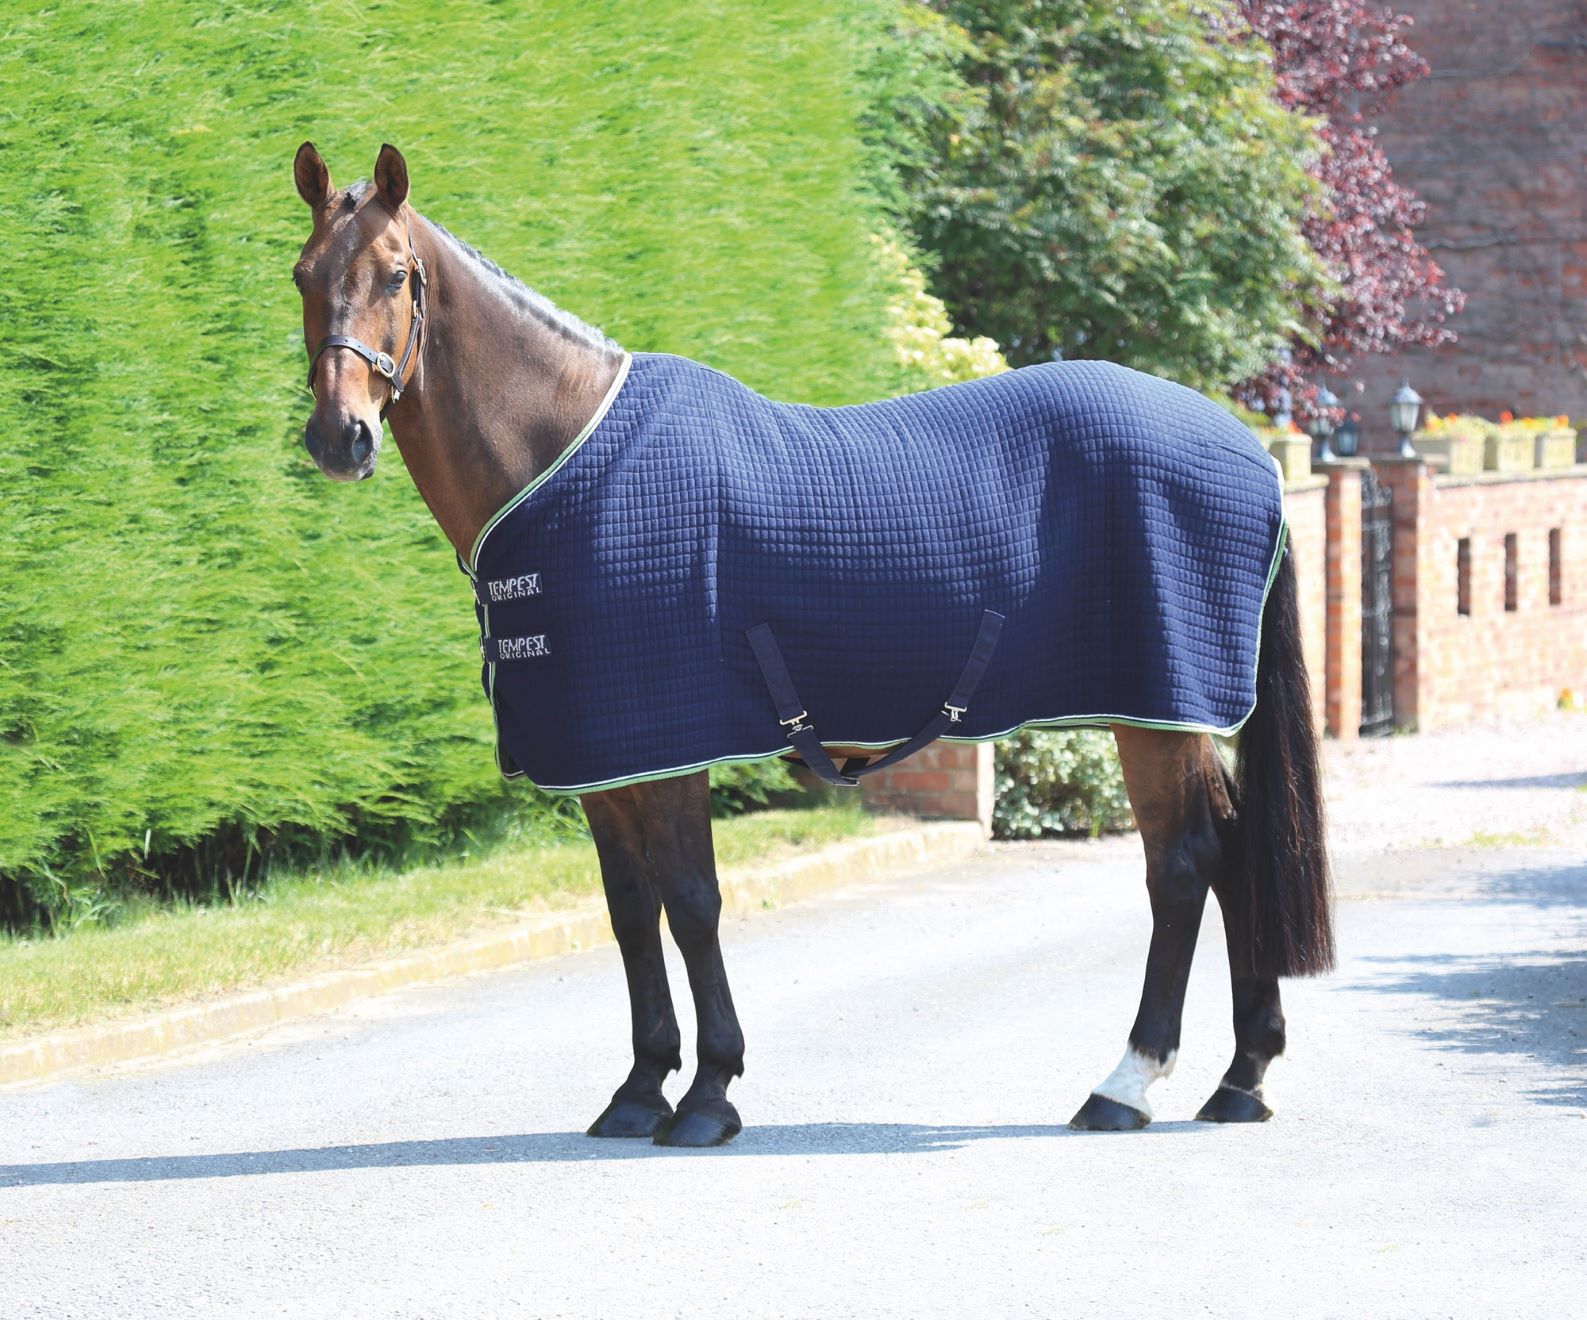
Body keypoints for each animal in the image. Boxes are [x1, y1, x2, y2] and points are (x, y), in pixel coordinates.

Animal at [289, 142, 1333, 1147]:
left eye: (395, 275)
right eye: (303, 274)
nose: (341, 437)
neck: (562, 457)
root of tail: (1247, 450)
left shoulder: (671, 749)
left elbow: (692, 902)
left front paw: (708, 1094)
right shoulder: (606, 761)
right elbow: (630, 912)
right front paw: (638, 1090)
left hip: (1157, 714)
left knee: (1183, 864)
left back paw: (1126, 1085)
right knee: (1233, 850)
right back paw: (1239, 1079)